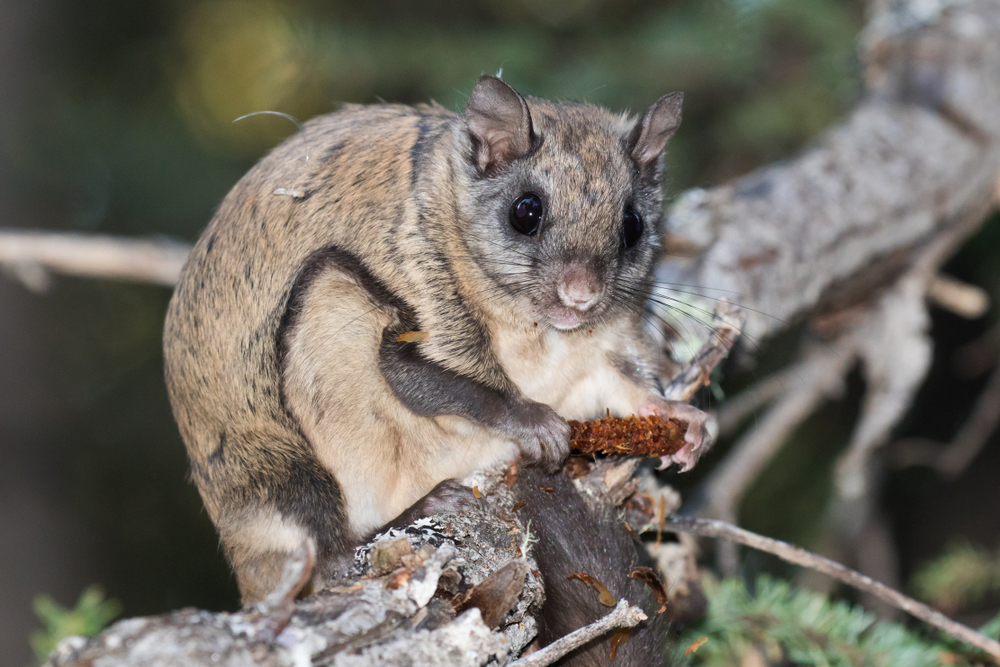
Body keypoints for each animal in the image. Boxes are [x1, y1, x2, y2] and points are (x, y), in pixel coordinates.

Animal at [163, 75, 708, 635]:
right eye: (526, 211)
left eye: (633, 224)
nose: (581, 294)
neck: (539, 332)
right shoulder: (417, 281)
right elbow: (433, 381)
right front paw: (537, 424)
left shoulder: (605, 349)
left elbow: (627, 385)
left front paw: (683, 419)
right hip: (299, 425)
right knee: (330, 554)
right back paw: (417, 508)